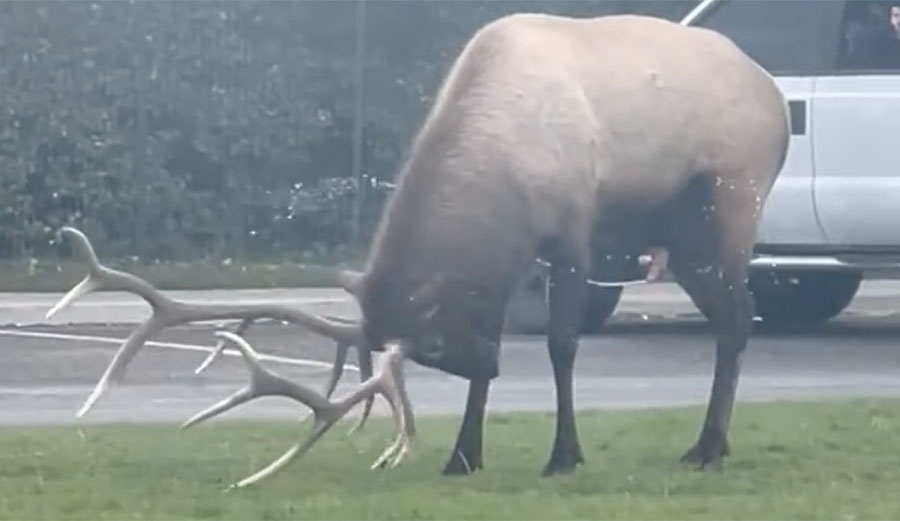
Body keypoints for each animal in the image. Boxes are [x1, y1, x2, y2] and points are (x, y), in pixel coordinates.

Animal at [47, 12, 790, 488]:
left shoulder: (574, 227)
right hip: (682, 237)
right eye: (438, 353)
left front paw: (562, 456)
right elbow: (502, 333)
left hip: (732, 197)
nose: (487, 362)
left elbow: (562, 344)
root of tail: (777, 98)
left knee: (740, 315)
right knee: (731, 316)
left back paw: (708, 448)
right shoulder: (511, 260)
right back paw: (711, 443)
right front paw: (463, 455)